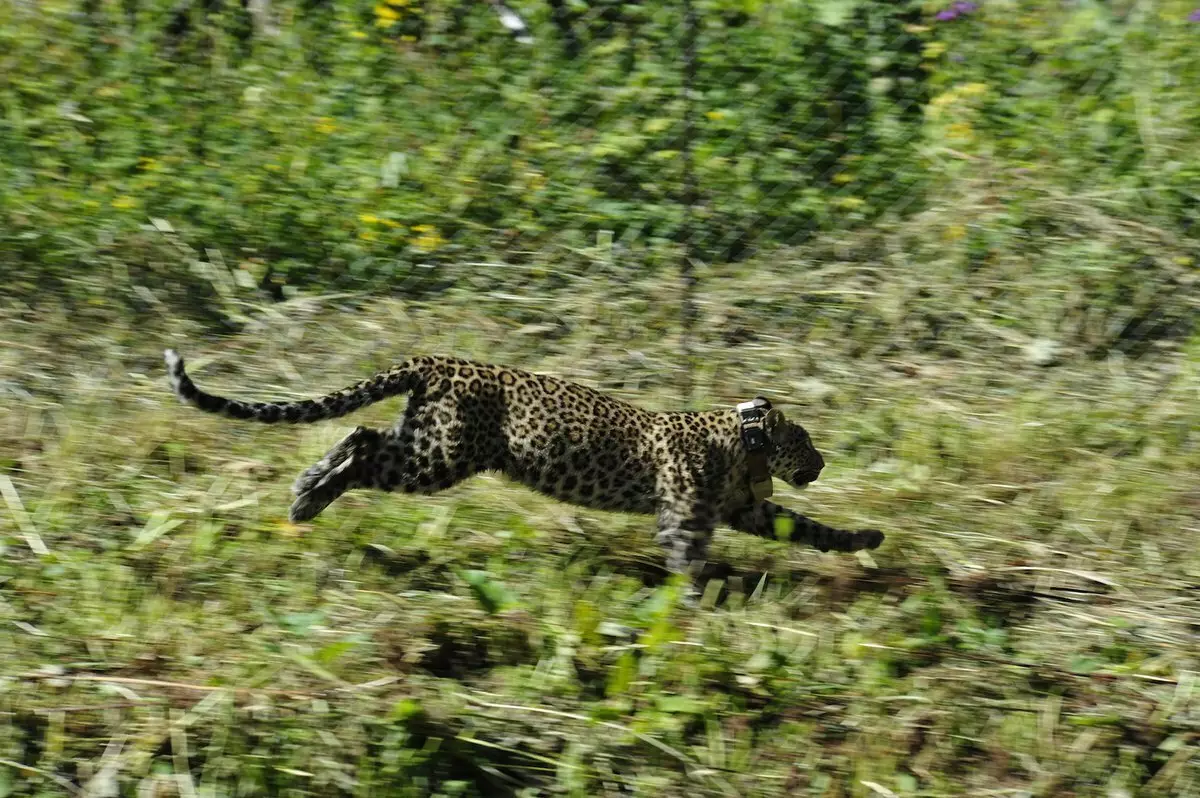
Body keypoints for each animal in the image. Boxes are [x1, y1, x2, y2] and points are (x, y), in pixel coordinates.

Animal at [164, 348, 883, 585]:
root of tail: (433, 360)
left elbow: (806, 527)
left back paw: (305, 487)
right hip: (440, 456)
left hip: (424, 441)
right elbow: (688, 556)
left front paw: (865, 537)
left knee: (359, 431)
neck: (741, 442)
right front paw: (699, 599)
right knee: (364, 447)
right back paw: (307, 499)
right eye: (805, 441)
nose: (824, 462)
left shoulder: (744, 507)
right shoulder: (687, 515)